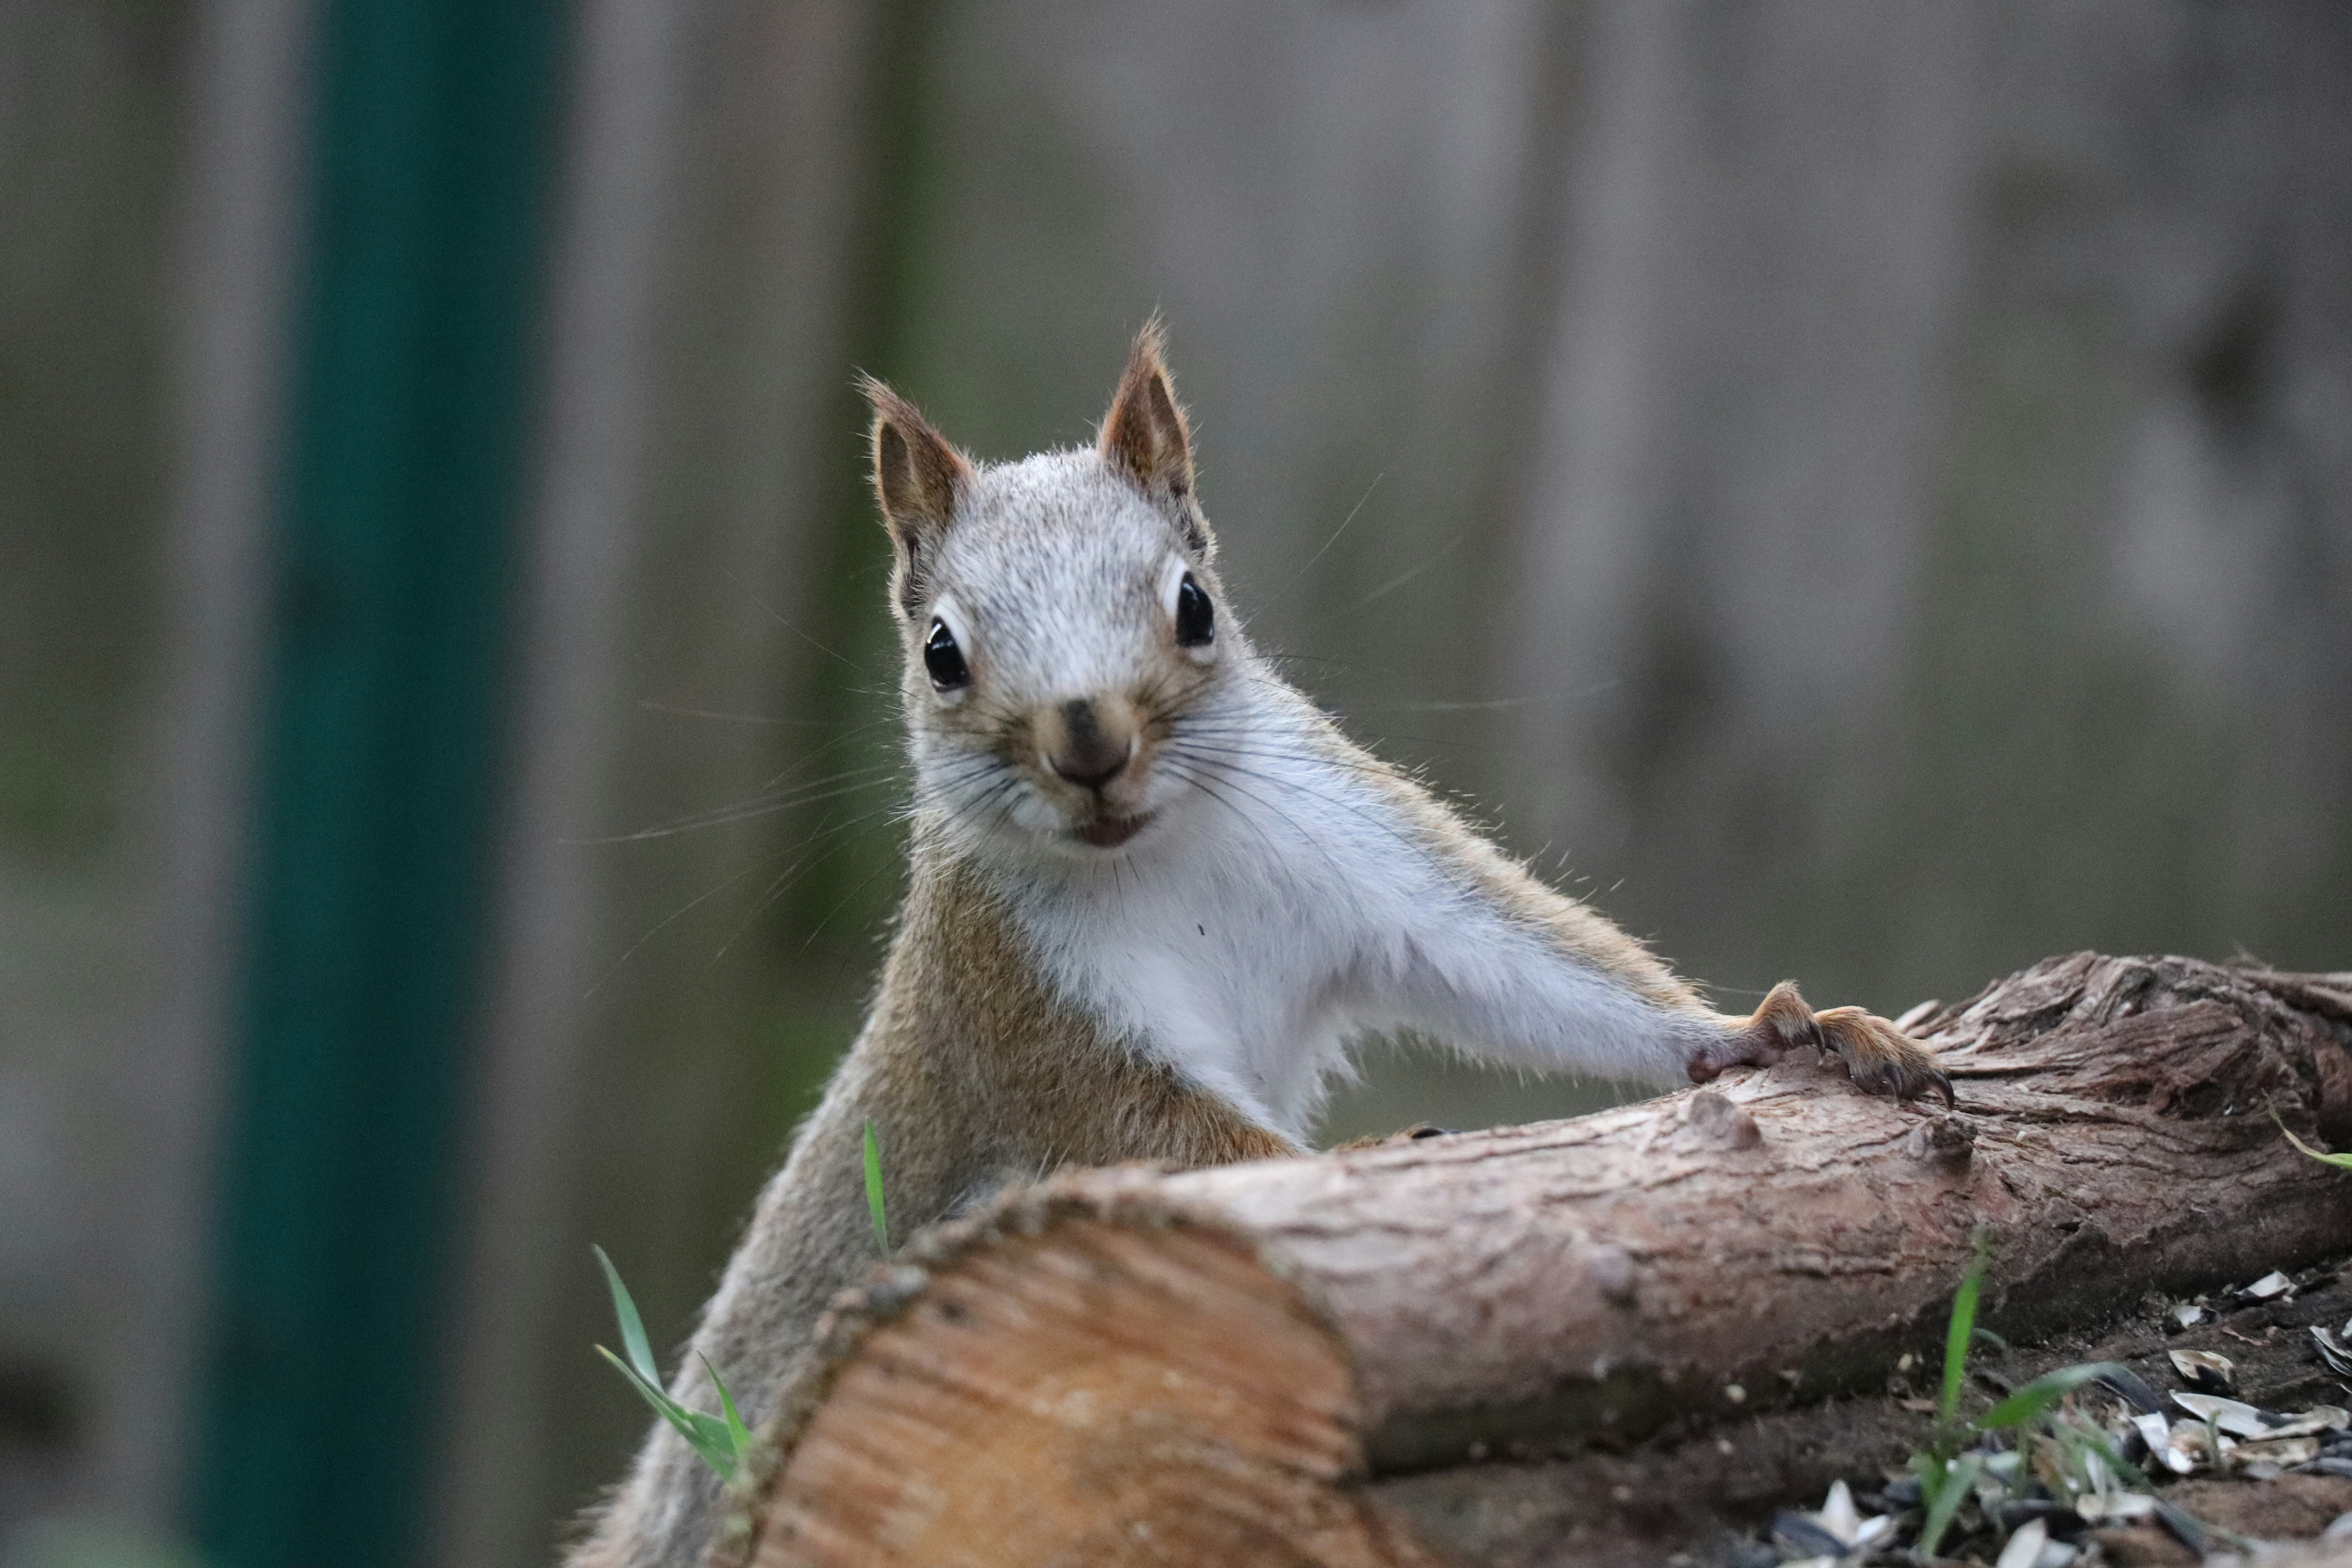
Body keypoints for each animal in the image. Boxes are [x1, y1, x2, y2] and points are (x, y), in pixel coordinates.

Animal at [567, 323, 1946, 1568]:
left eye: (1195, 605)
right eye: (940, 652)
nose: (1089, 742)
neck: (1158, 854)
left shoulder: (1365, 858)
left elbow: (1516, 967)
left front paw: (1768, 1032)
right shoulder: (1030, 1009)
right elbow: (1175, 1143)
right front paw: (1369, 1161)